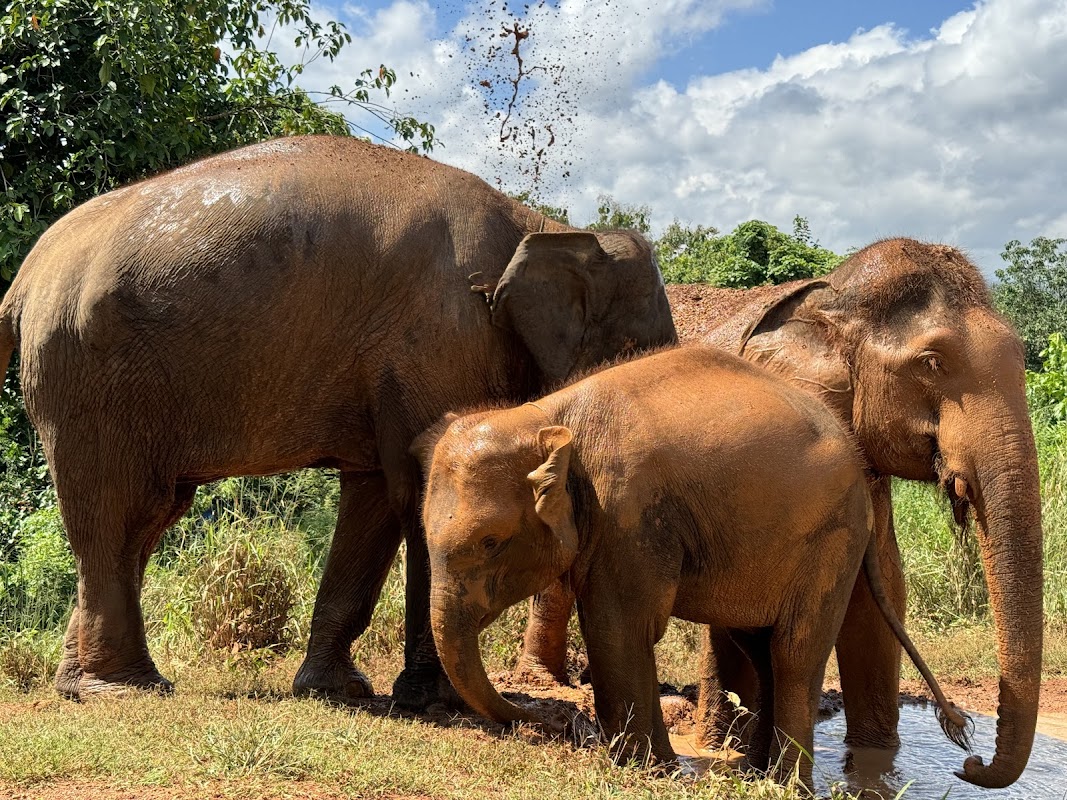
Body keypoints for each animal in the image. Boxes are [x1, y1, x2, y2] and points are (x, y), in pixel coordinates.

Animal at [0, 135, 676, 704]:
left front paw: (338, 691)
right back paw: (123, 690)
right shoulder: (439, 336)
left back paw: (80, 685)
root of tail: (22, 280)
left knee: (148, 517)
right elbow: (418, 495)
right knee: (118, 511)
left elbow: (375, 498)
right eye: (637, 352)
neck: (544, 225)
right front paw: (436, 702)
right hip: (87, 374)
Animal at [415, 345, 967, 787]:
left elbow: (619, 628)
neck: (549, 417)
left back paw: (786, 783)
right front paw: (656, 767)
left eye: (490, 542)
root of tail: (860, 463)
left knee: (794, 651)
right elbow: (623, 630)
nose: (543, 723)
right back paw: (753, 773)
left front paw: (645, 770)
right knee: (759, 647)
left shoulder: (629, 513)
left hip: (832, 539)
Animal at [518, 238, 1042, 789]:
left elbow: (878, 586)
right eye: (932, 362)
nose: (968, 760)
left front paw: (876, 769)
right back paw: (552, 684)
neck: (831, 300)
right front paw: (726, 751)